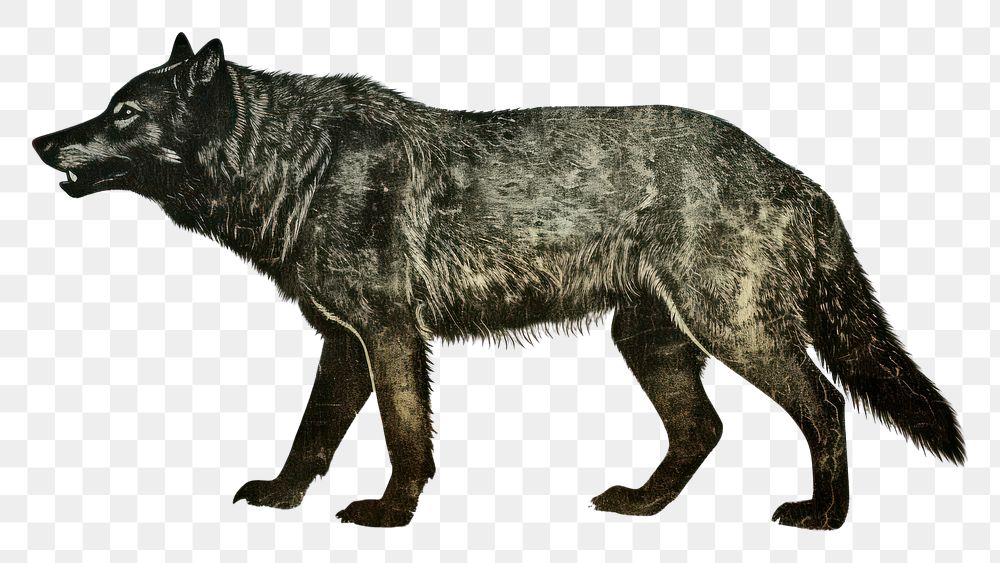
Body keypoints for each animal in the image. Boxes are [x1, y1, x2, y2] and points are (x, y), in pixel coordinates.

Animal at [32, 34, 964, 529]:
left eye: (124, 111)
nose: (42, 141)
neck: (300, 163)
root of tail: (801, 178)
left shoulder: (388, 335)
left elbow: (405, 435)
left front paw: (392, 511)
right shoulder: (345, 342)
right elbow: (313, 435)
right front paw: (284, 497)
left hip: (733, 331)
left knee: (825, 404)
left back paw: (824, 518)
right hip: (650, 340)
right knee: (703, 429)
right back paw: (643, 506)